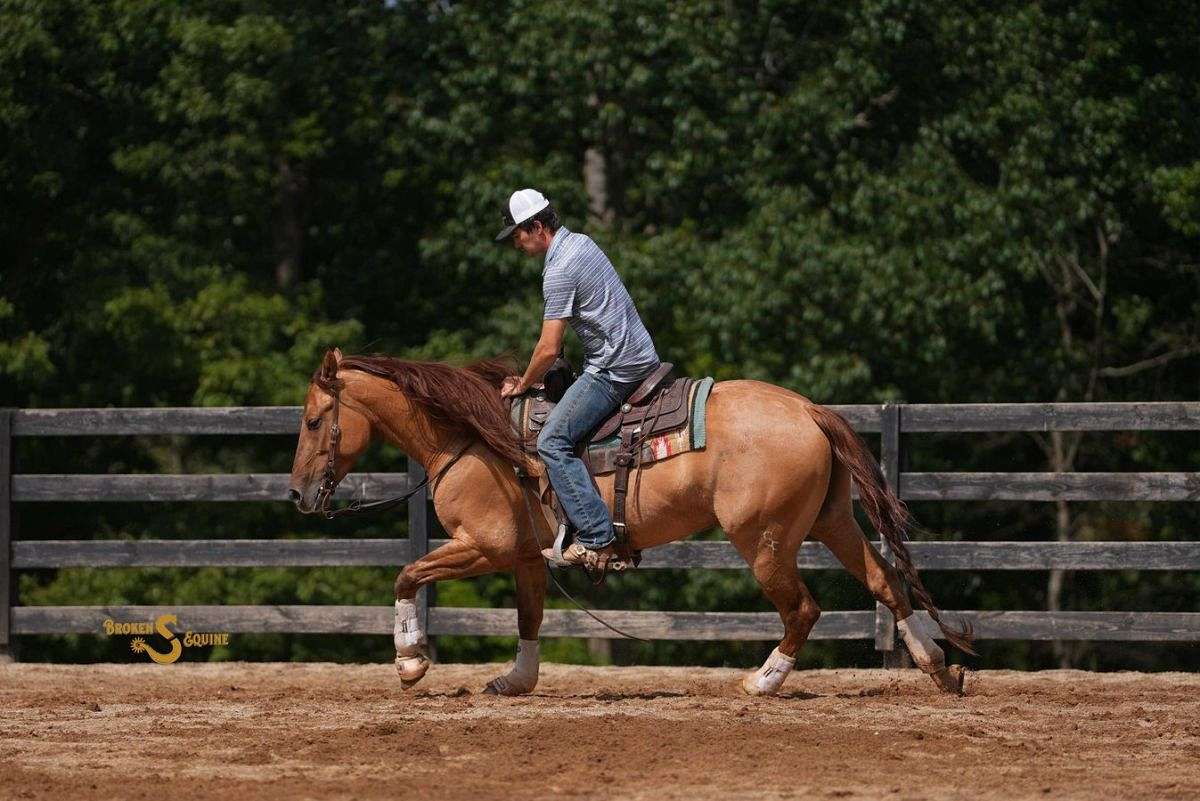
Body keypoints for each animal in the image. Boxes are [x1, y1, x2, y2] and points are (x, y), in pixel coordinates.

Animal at [288, 348, 972, 697]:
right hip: (832, 524)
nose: (298, 493)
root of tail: (808, 410)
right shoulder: (526, 555)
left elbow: (407, 575)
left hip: (765, 540)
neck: (472, 437)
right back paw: (940, 667)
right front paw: (516, 679)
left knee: (803, 608)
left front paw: (410, 662)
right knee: (886, 583)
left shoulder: (484, 544)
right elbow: (529, 615)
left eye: (316, 420)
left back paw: (762, 682)